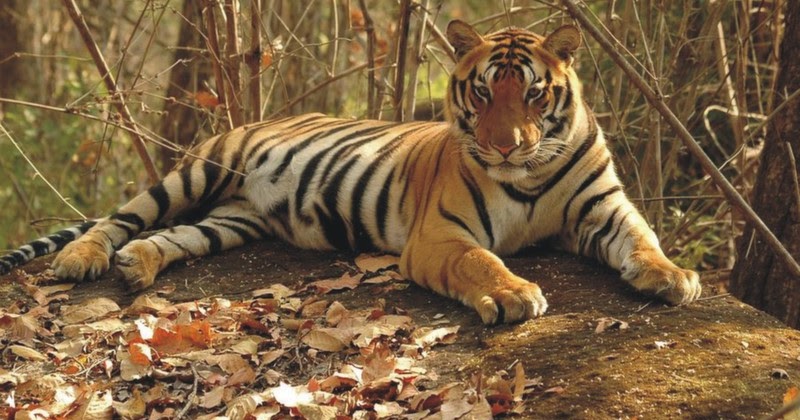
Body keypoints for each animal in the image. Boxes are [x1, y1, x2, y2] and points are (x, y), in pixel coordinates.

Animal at [0, 21, 701, 324]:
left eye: (531, 93)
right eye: (482, 92)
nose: (504, 147)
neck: (528, 175)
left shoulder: (603, 209)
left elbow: (643, 239)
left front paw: (674, 278)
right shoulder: (440, 235)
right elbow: (482, 261)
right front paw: (513, 294)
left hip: (232, 221)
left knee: (168, 237)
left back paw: (136, 267)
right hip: (195, 172)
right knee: (123, 217)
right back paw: (83, 259)